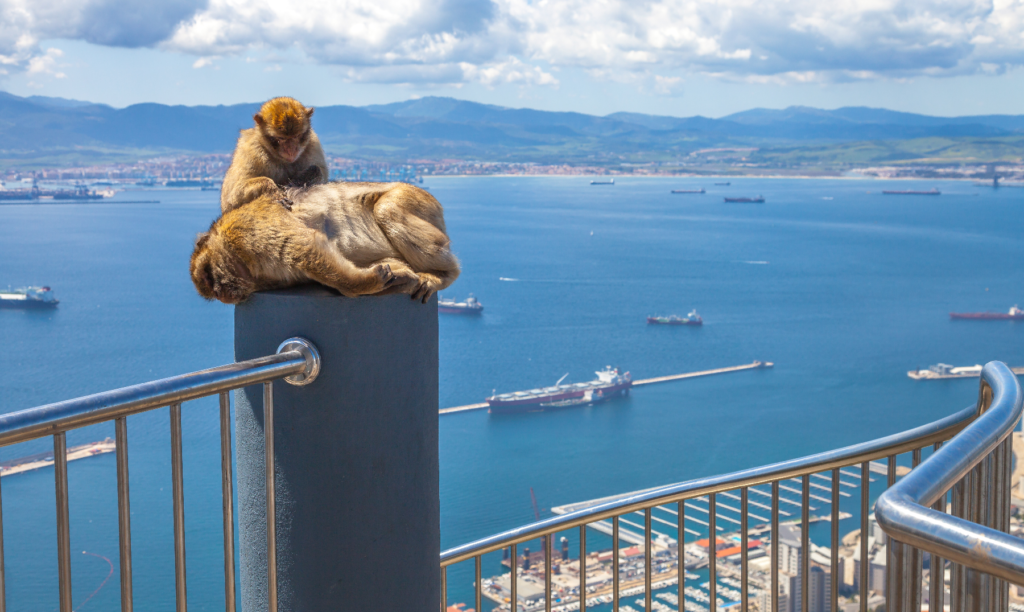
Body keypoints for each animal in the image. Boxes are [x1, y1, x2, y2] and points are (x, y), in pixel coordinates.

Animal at [191, 181, 460, 305]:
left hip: (411, 198)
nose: (222, 294)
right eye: (212, 293)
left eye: (207, 276)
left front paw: (365, 283)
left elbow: (306, 248)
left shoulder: (247, 230)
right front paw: (394, 275)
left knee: (388, 208)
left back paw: (441, 274)